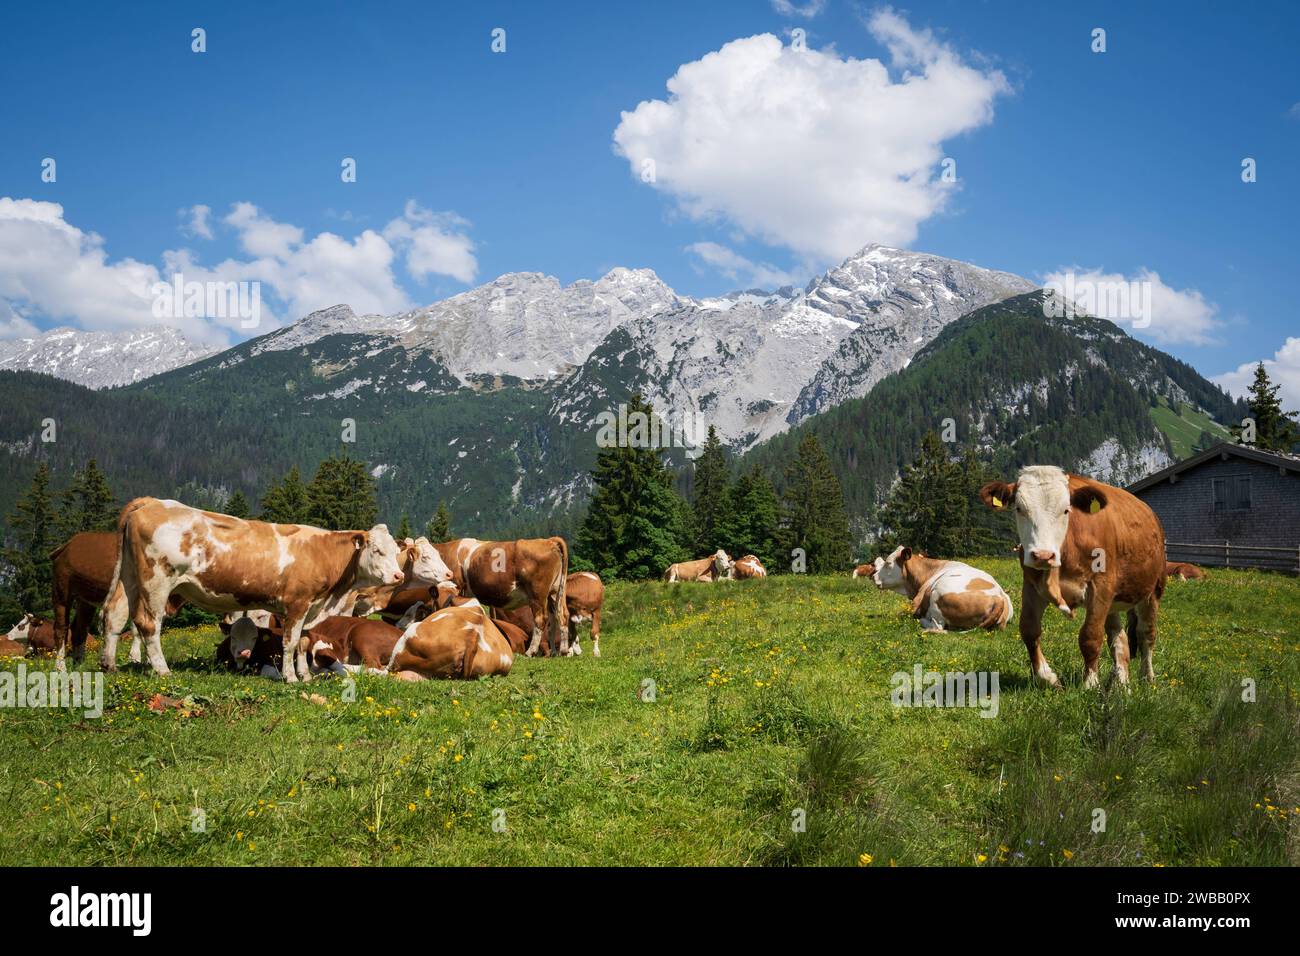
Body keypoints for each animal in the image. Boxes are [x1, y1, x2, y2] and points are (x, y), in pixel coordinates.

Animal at [102, 498, 406, 681]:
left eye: (395, 551)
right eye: (377, 551)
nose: (398, 575)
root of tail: (152, 502)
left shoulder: (309, 607)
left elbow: (304, 641)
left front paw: (306, 676)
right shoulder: (297, 604)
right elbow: (290, 642)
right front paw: (291, 678)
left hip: (128, 577)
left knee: (114, 616)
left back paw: (109, 665)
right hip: (156, 581)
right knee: (148, 624)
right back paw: (163, 670)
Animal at [432, 537, 569, 658]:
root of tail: (549, 541)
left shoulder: (458, 587)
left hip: (537, 594)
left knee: (541, 619)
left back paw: (531, 651)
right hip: (555, 592)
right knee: (560, 617)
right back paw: (560, 651)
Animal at [869, 547, 1013, 633]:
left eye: (888, 563)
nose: (873, 576)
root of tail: (999, 598)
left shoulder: (917, 600)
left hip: (937, 592)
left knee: (937, 626)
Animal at [981, 467, 1165, 689]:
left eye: (1066, 510)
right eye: (1019, 508)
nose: (1043, 555)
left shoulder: (1101, 587)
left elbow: (1090, 636)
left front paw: (1090, 683)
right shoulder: (1032, 585)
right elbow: (1029, 629)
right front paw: (1046, 676)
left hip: (1152, 590)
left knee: (1146, 633)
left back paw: (1147, 677)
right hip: (1113, 602)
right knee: (1118, 637)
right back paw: (1121, 682)